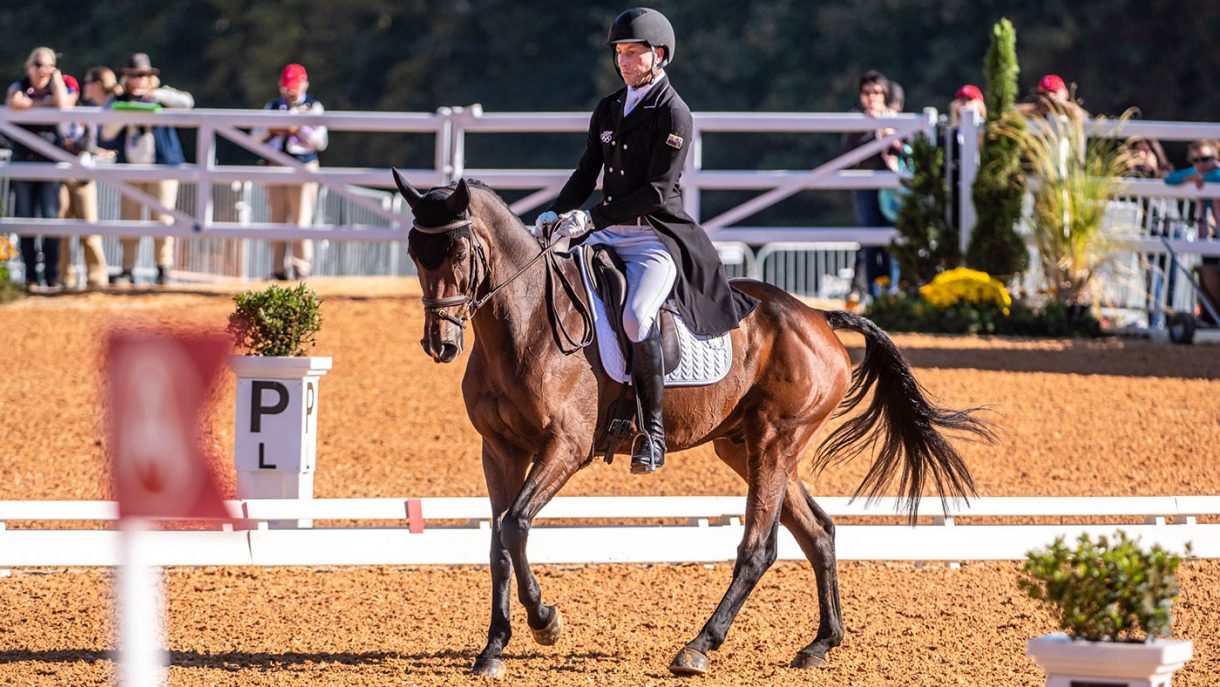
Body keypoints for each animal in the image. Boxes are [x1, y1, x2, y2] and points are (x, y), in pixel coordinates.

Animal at [392, 170, 992, 678]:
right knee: (818, 532)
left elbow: (516, 525)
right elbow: (497, 539)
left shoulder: (564, 448)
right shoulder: (500, 450)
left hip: (775, 440)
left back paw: (699, 647)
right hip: (744, 445)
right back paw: (820, 644)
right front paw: (494, 648)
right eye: (416, 252)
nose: (440, 344)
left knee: (758, 547)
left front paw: (545, 622)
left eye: (460, 250)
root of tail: (817, 316)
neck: (528, 326)